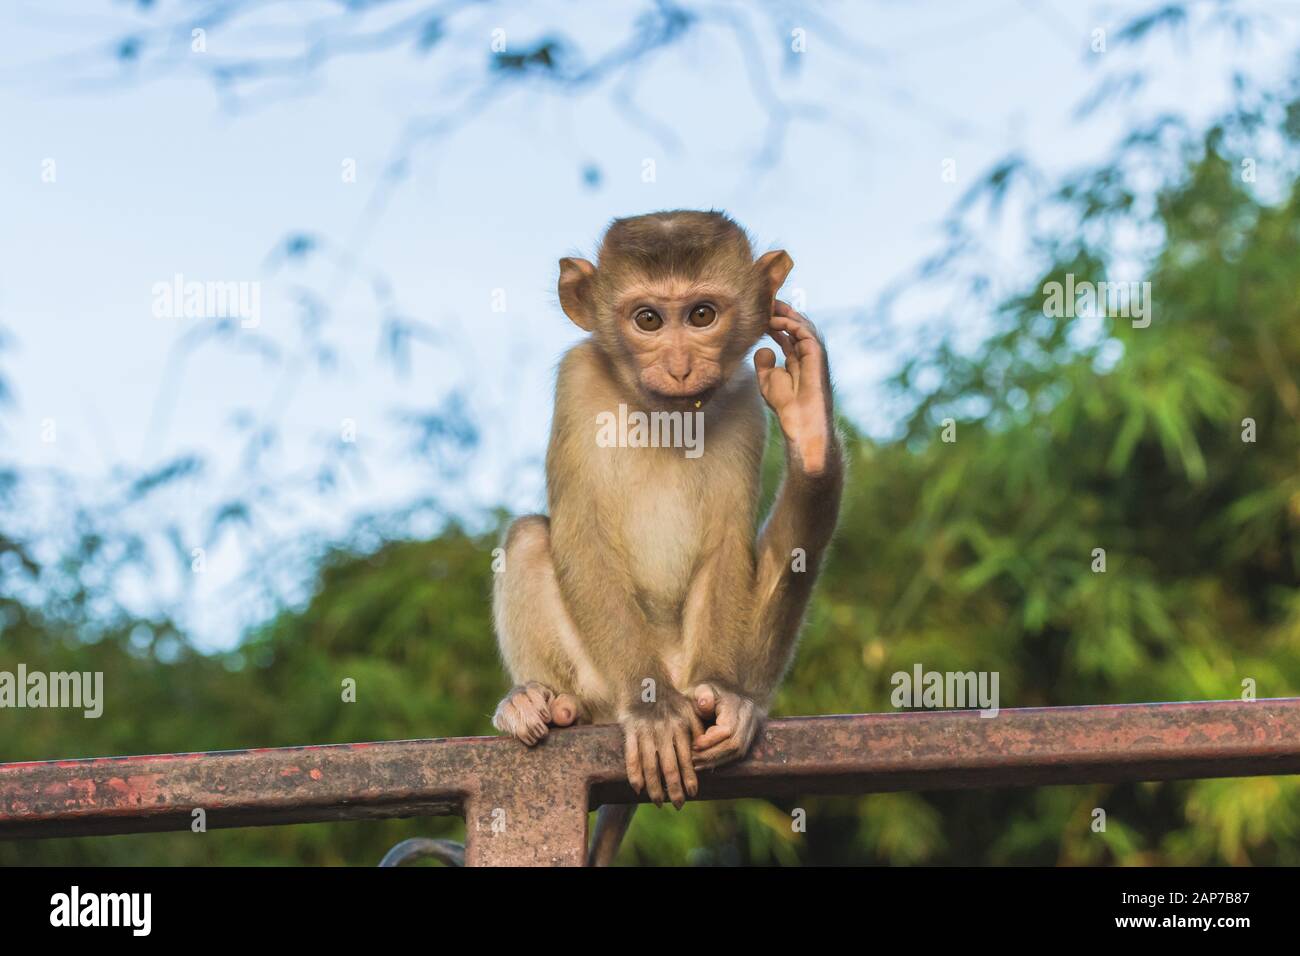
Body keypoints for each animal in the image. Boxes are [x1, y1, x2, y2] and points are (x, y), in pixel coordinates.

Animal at [491, 210, 843, 863]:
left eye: (702, 314)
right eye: (648, 320)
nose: (679, 366)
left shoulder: (742, 402)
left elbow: (728, 548)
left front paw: (808, 419)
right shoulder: (577, 382)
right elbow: (579, 535)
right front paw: (652, 712)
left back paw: (737, 704)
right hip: (598, 683)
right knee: (529, 537)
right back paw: (541, 702)